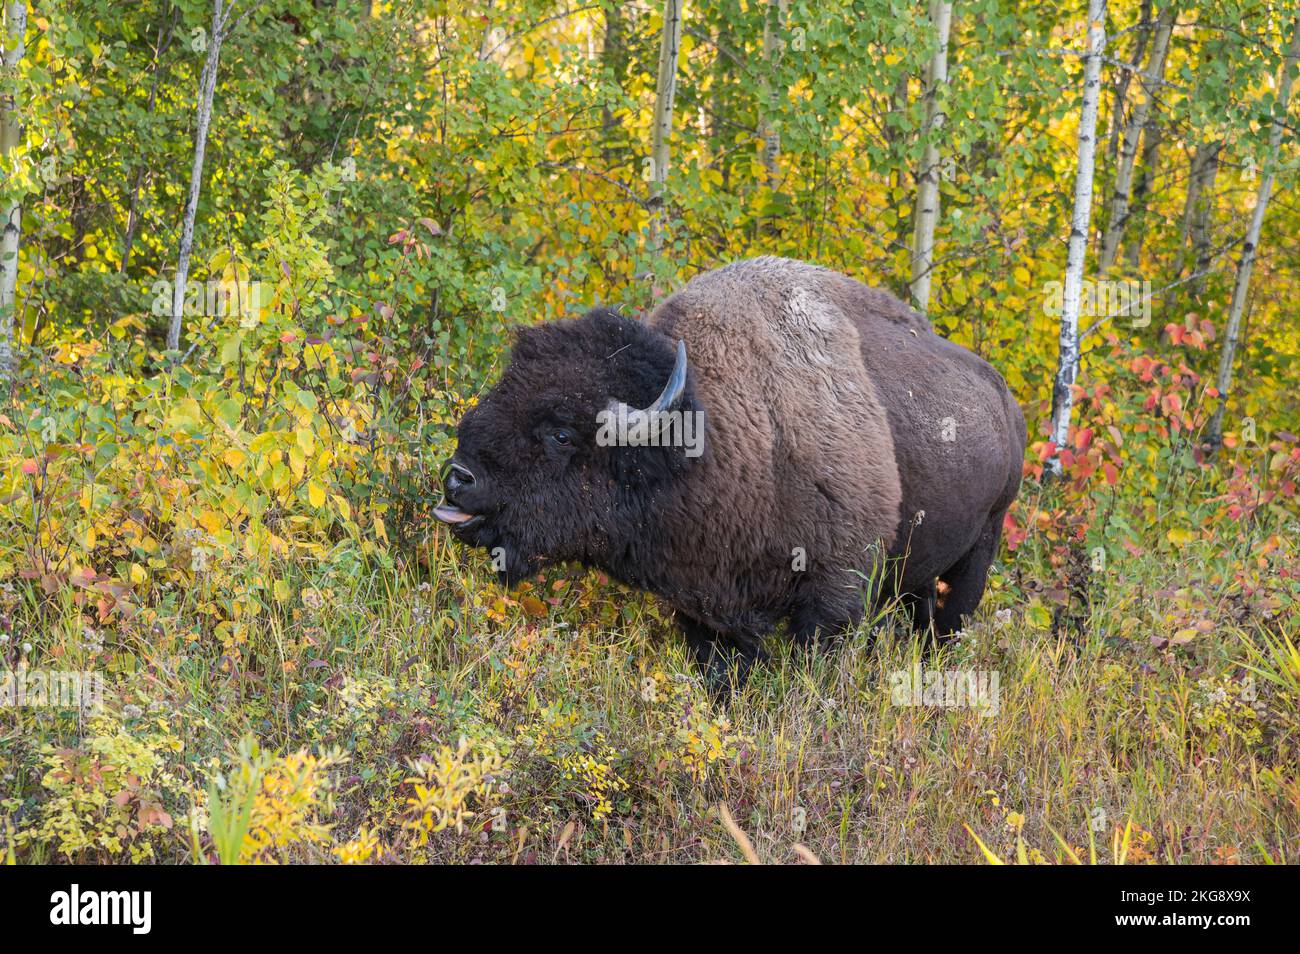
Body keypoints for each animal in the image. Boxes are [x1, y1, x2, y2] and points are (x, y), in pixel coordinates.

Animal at [435, 257, 1026, 688]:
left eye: (561, 433)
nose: (459, 477)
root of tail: (1005, 400)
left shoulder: (836, 591)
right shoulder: (707, 607)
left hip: (979, 553)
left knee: (947, 625)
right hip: (918, 574)